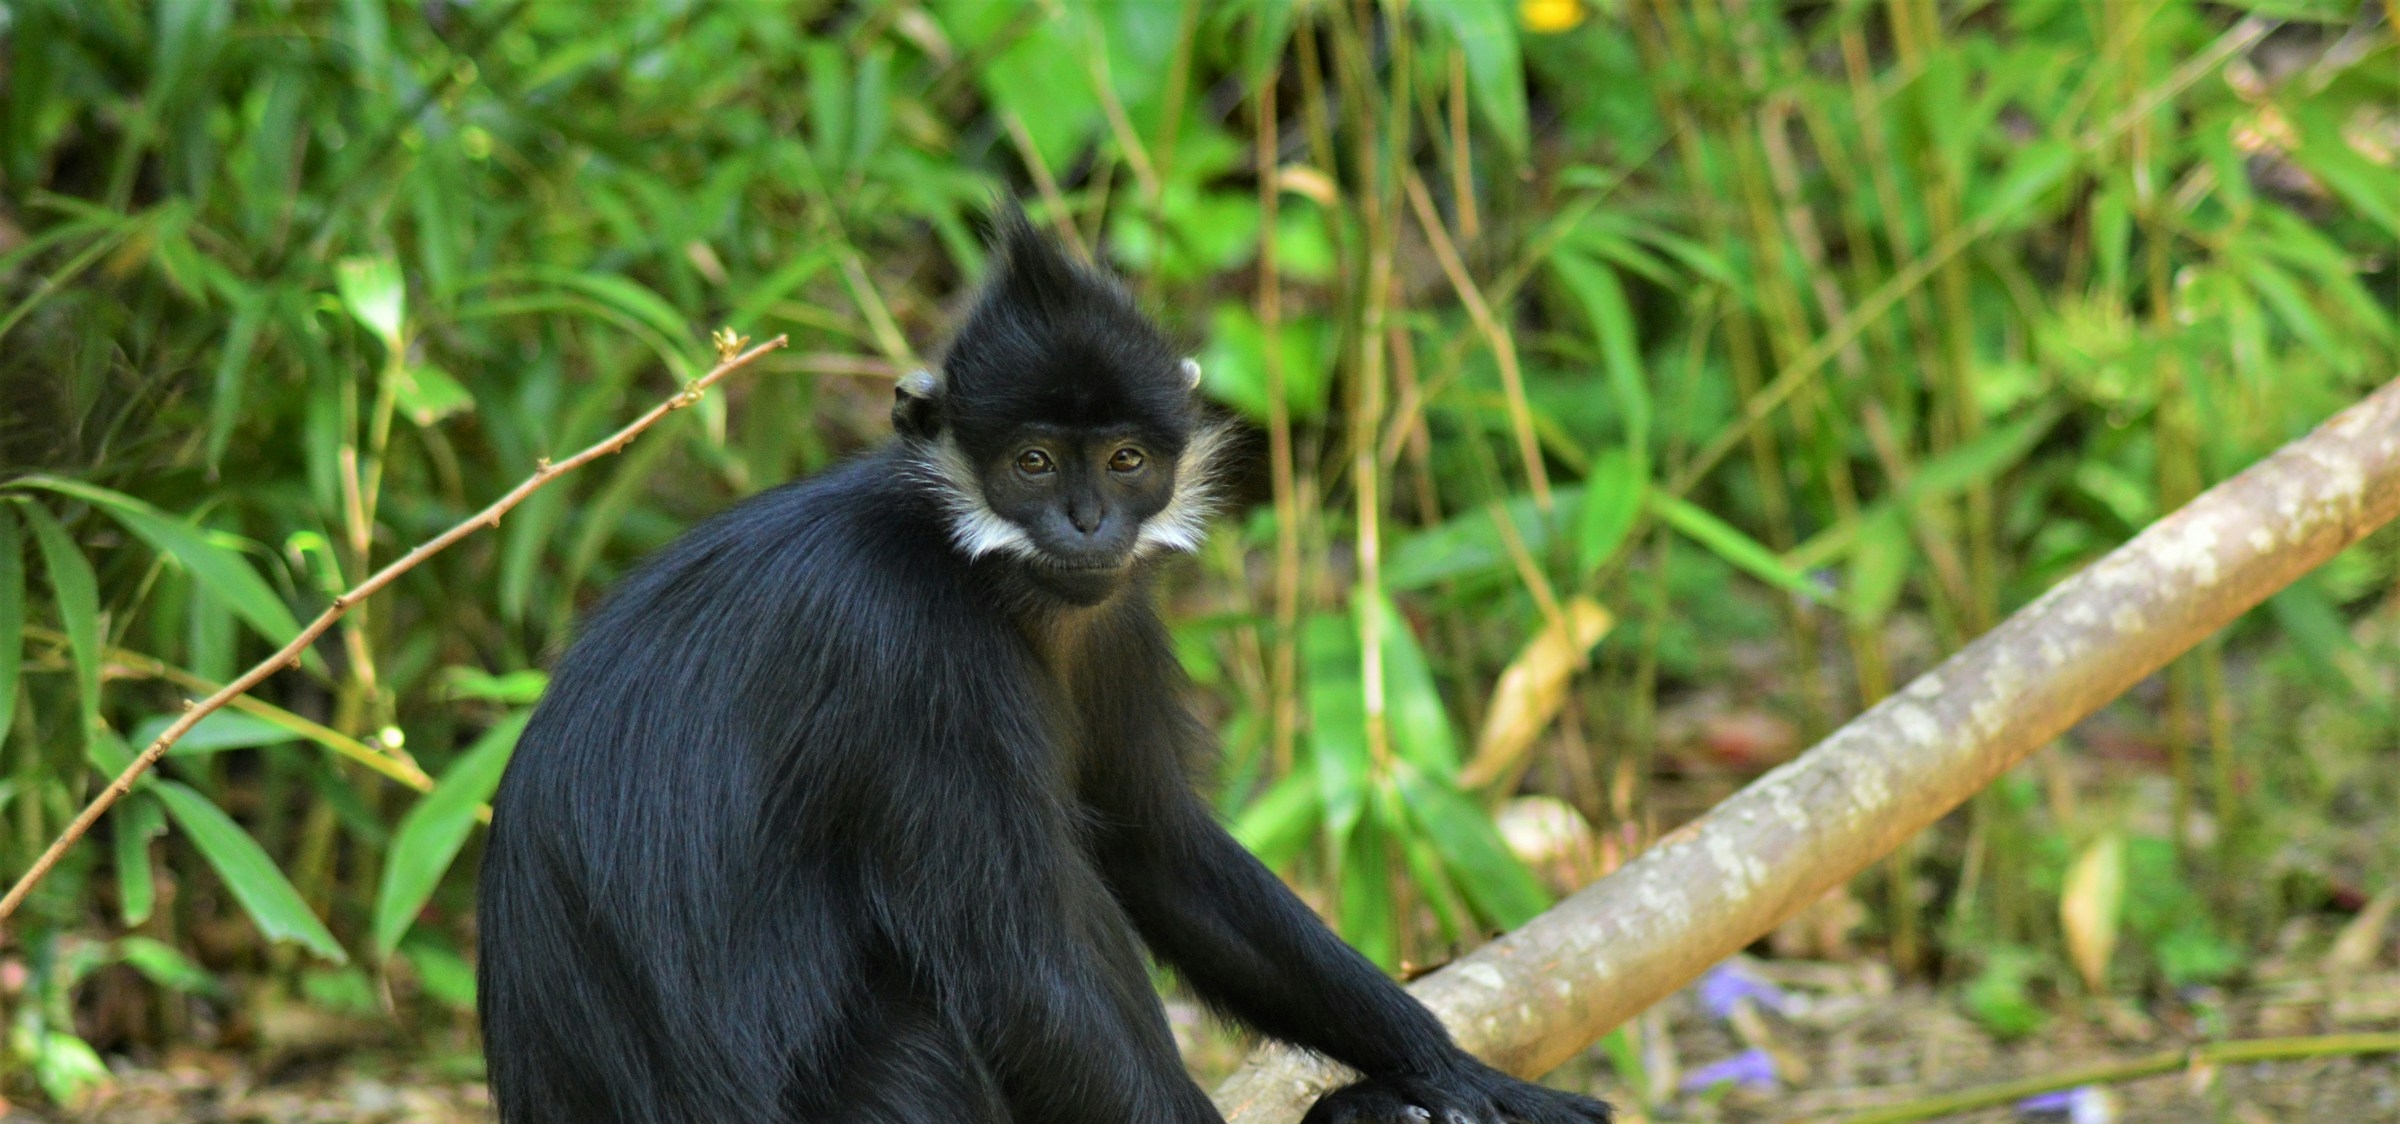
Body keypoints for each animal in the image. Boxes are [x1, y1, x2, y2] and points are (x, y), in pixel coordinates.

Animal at [475, 206, 1612, 1124]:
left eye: (1124, 459)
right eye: (1031, 462)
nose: (1087, 520)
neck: (981, 571)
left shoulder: (1111, 619)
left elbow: (1158, 844)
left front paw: (1459, 1073)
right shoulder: (911, 656)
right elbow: (1027, 978)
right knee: (930, 1029)